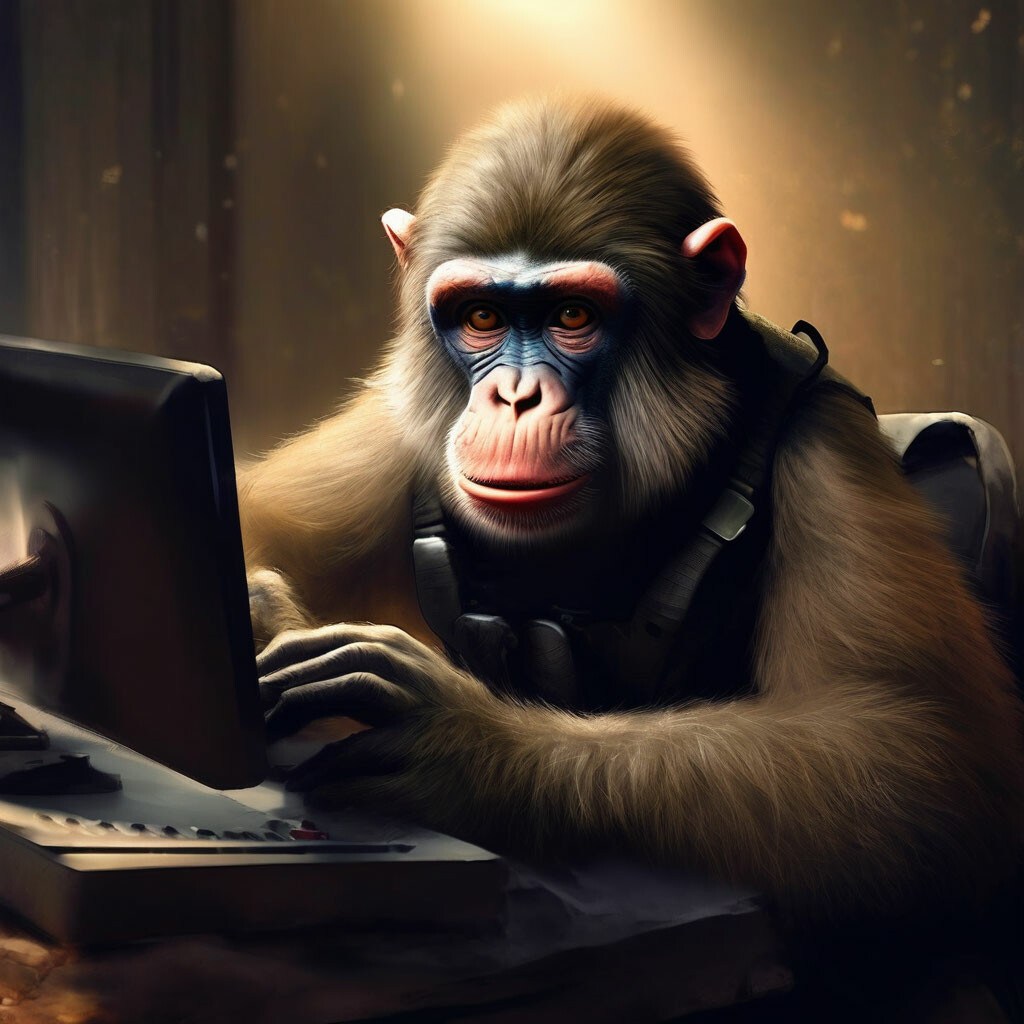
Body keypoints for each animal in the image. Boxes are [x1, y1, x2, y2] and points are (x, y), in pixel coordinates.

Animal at [239, 95, 1024, 923]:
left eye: (572, 315)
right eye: (482, 317)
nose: (513, 397)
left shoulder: (826, 445)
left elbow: (910, 752)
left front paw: (457, 740)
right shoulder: (402, 416)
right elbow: (258, 522)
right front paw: (264, 616)